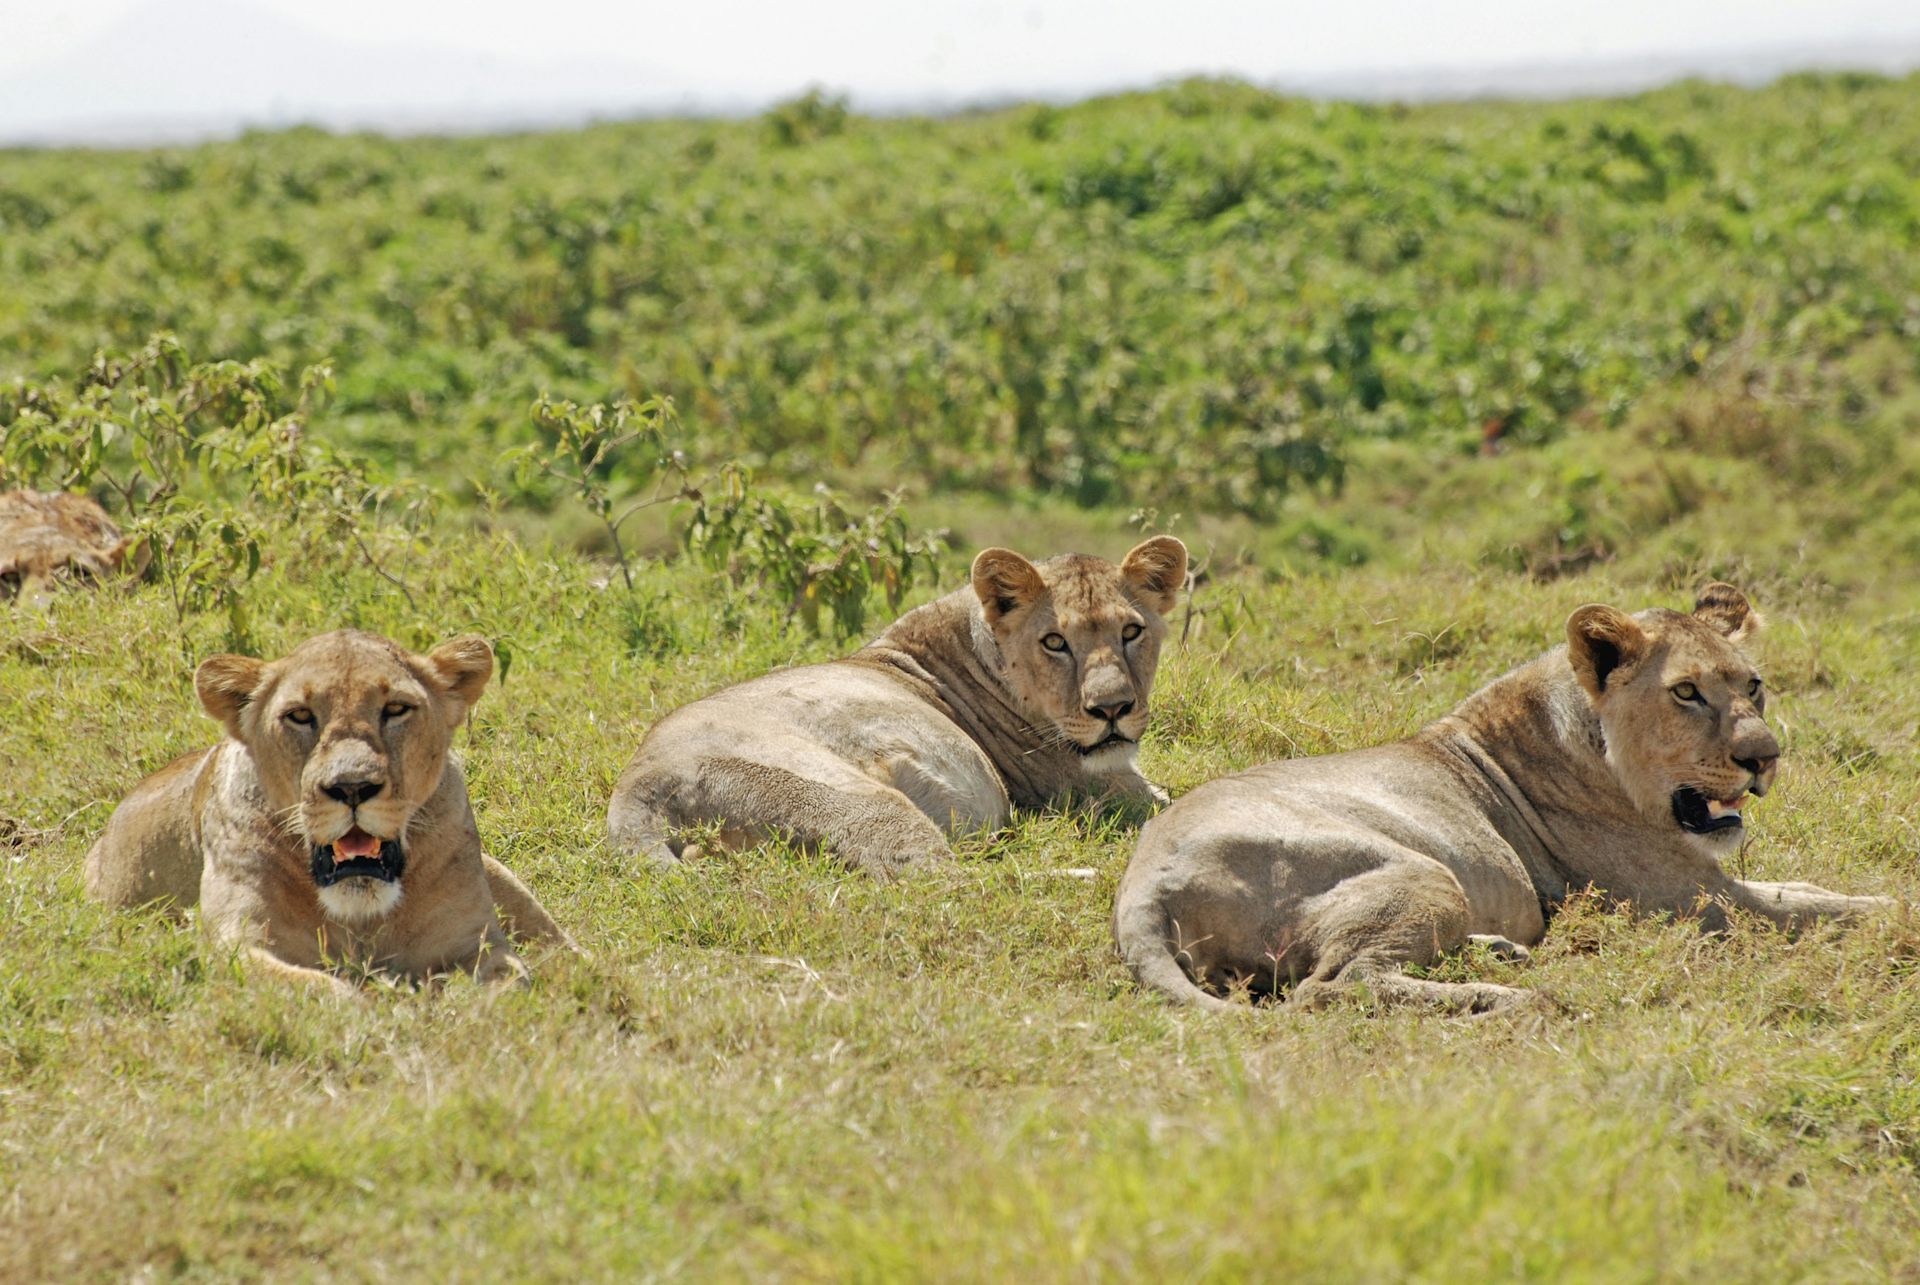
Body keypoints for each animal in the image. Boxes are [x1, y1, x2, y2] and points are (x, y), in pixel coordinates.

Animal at [84, 629, 573, 996]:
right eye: (300, 716)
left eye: (396, 709)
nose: (352, 786)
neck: (361, 918)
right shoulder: (237, 944)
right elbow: (323, 991)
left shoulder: (478, 941)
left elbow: (503, 986)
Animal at [608, 537, 1189, 876]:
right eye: (1054, 642)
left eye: (1131, 632)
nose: (1112, 708)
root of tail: (636, 787)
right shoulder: (1099, 790)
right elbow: (1180, 801)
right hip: (858, 799)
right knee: (946, 881)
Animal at [1113, 584, 1893, 1013]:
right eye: (1686, 692)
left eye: (1752, 685)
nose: (1765, 757)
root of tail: (1144, 879)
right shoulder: (1698, 904)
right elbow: (1825, 911)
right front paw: (1896, 916)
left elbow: (1811, 889)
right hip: (1421, 871)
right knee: (1334, 986)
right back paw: (1512, 999)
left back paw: (1498, 953)